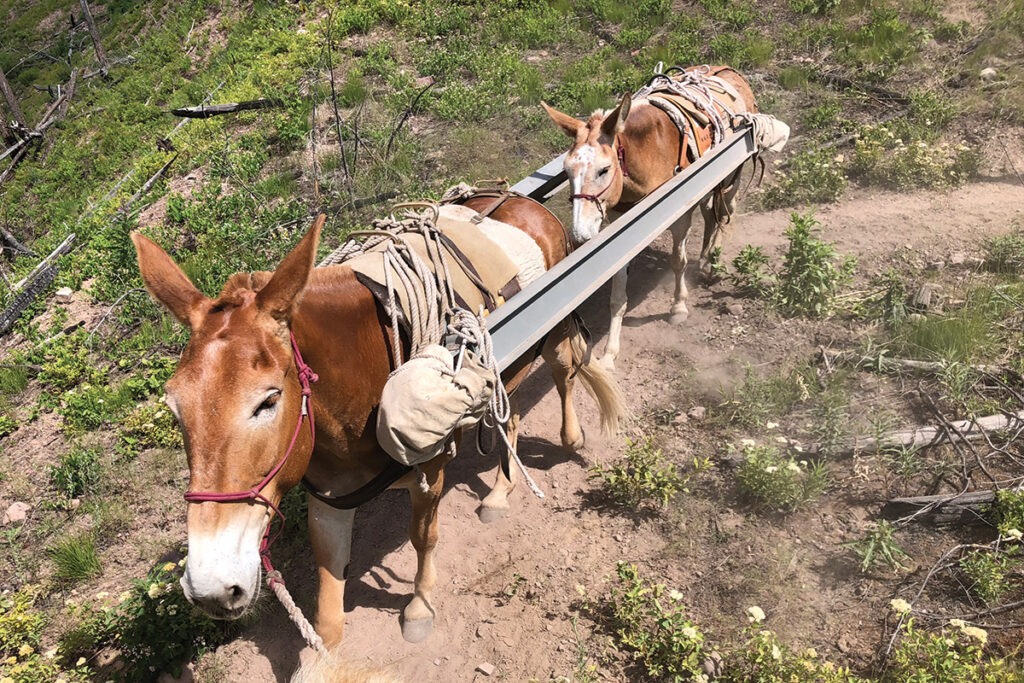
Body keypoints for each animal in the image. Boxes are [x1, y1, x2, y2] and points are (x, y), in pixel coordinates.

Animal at [131, 198, 623, 651]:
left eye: (268, 401)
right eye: (175, 409)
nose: (210, 588)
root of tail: (526, 202)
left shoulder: (429, 472)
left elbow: (423, 538)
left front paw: (419, 608)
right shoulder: (330, 499)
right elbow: (329, 605)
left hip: (553, 330)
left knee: (563, 374)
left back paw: (570, 438)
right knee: (511, 410)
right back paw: (501, 491)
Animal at [541, 65, 760, 371]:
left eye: (604, 169)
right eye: (567, 171)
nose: (581, 234)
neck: (646, 153)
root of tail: (731, 72)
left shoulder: (679, 214)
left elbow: (678, 261)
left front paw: (678, 307)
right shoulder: (620, 230)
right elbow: (617, 293)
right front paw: (609, 353)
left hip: (731, 175)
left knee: (725, 212)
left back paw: (711, 261)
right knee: (710, 213)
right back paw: (705, 257)